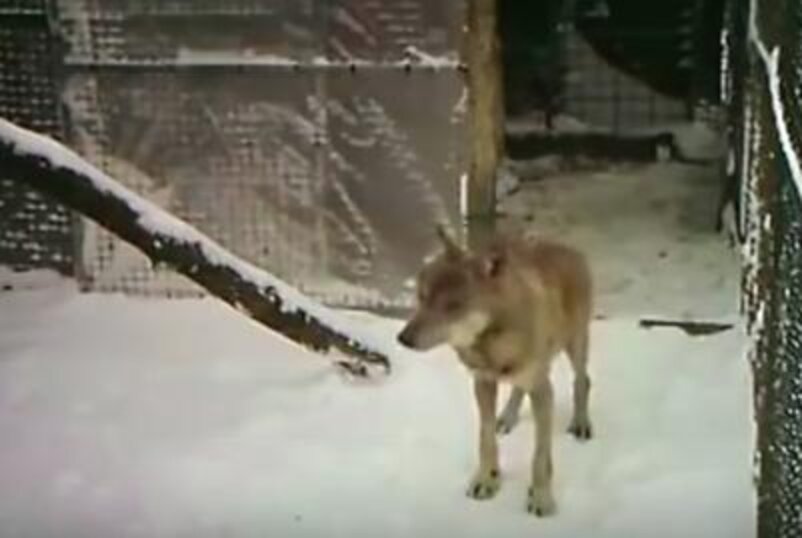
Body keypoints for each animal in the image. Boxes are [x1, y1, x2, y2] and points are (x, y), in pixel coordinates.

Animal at [397, 226, 593, 516]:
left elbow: (540, 456)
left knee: (583, 380)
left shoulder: (542, 390)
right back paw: (507, 418)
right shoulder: (483, 383)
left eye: (453, 306)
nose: (403, 339)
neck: (491, 343)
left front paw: (541, 498)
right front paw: (486, 480)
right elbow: (485, 439)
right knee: (518, 390)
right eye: (422, 297)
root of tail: (567, 247)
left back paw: (581, 423)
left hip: (575, 346)